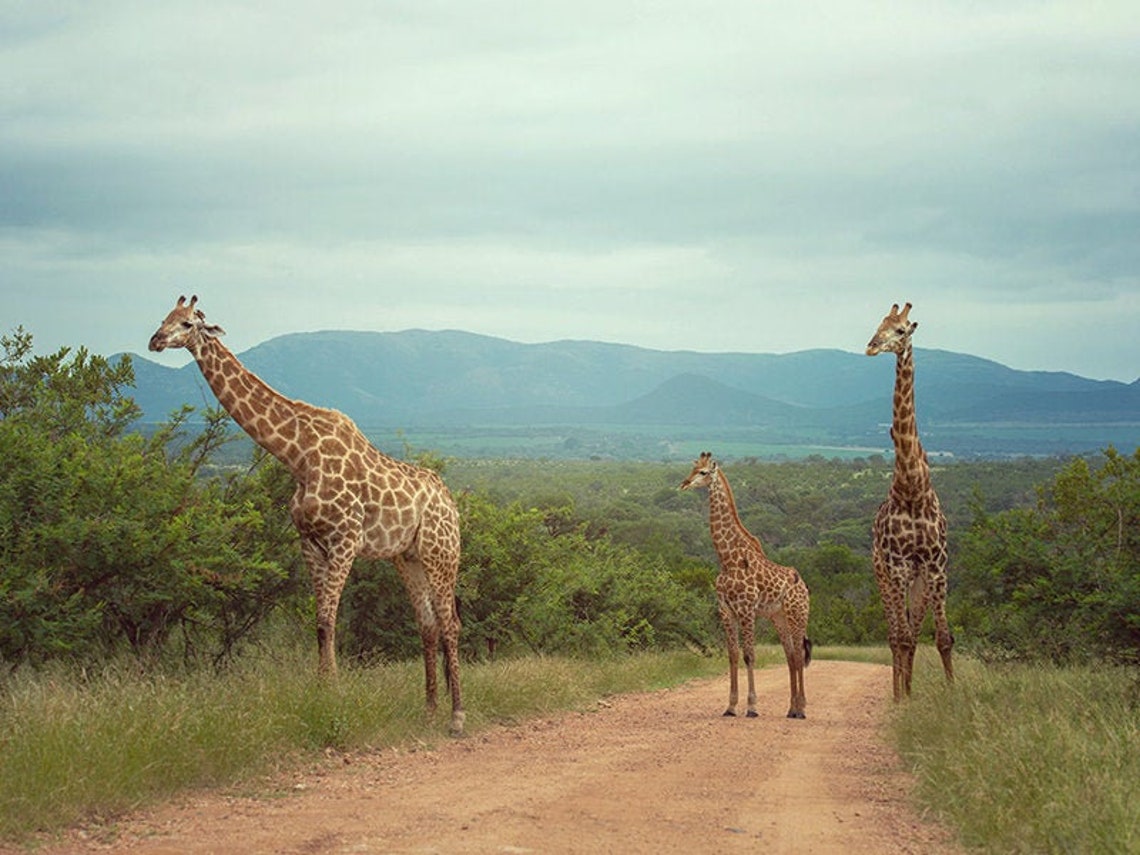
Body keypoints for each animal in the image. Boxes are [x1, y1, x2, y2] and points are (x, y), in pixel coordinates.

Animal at [148, 296, 465, 735]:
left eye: (186, 323)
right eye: (162, 316)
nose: (155, 340)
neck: (298, 455)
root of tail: (450, 502)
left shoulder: (345, 540)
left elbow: (328, 620)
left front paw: (334, 694)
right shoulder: (309, 541)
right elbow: (319, 620)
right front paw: (321, 692)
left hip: (441, 554)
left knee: (451, 623)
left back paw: (456, 716)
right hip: (408, 558)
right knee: (429, 625)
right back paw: (430, 710)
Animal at [680, 452, 812, 719]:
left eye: (703, 472)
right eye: (692, 468)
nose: (684, 484)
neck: (728, 558)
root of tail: (803, 586)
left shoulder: (746, 609)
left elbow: (749, 655)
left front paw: (751, 706)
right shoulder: (726, 609)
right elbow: (732, 655)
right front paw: (730, 706)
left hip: (798, 614)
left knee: (799, 654)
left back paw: (802, 709)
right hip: (779, 618)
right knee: (791, 655)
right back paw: (791, 708)